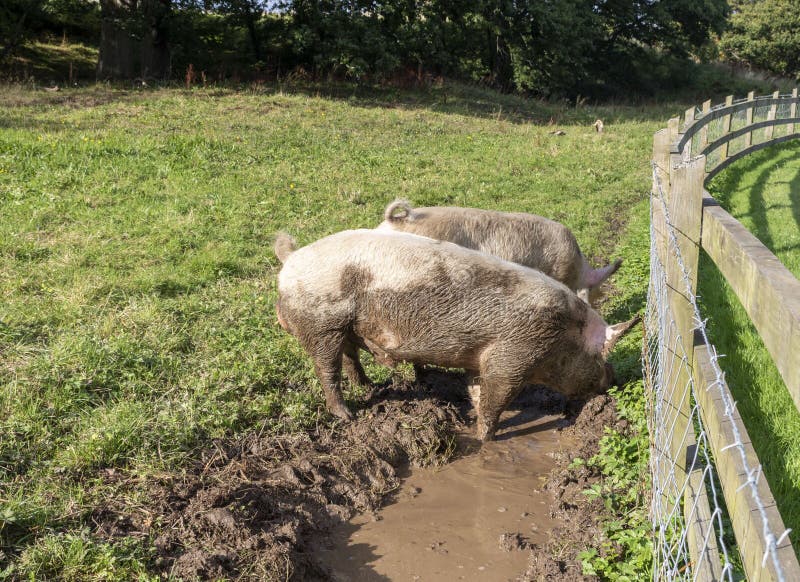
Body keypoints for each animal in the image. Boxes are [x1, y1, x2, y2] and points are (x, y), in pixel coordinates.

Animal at [274, 229, 638, 441]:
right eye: (601, 356)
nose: (614, 379)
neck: (562, 334)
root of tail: (291, 258)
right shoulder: (513, 357)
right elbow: (496, 399)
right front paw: (485, 439)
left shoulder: (481, 359)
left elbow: (476, 391)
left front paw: (474, 425)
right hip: (322, 323)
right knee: (327, 369)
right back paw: (348, 415)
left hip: (344, 326)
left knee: (349, 356)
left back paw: (368, 387)